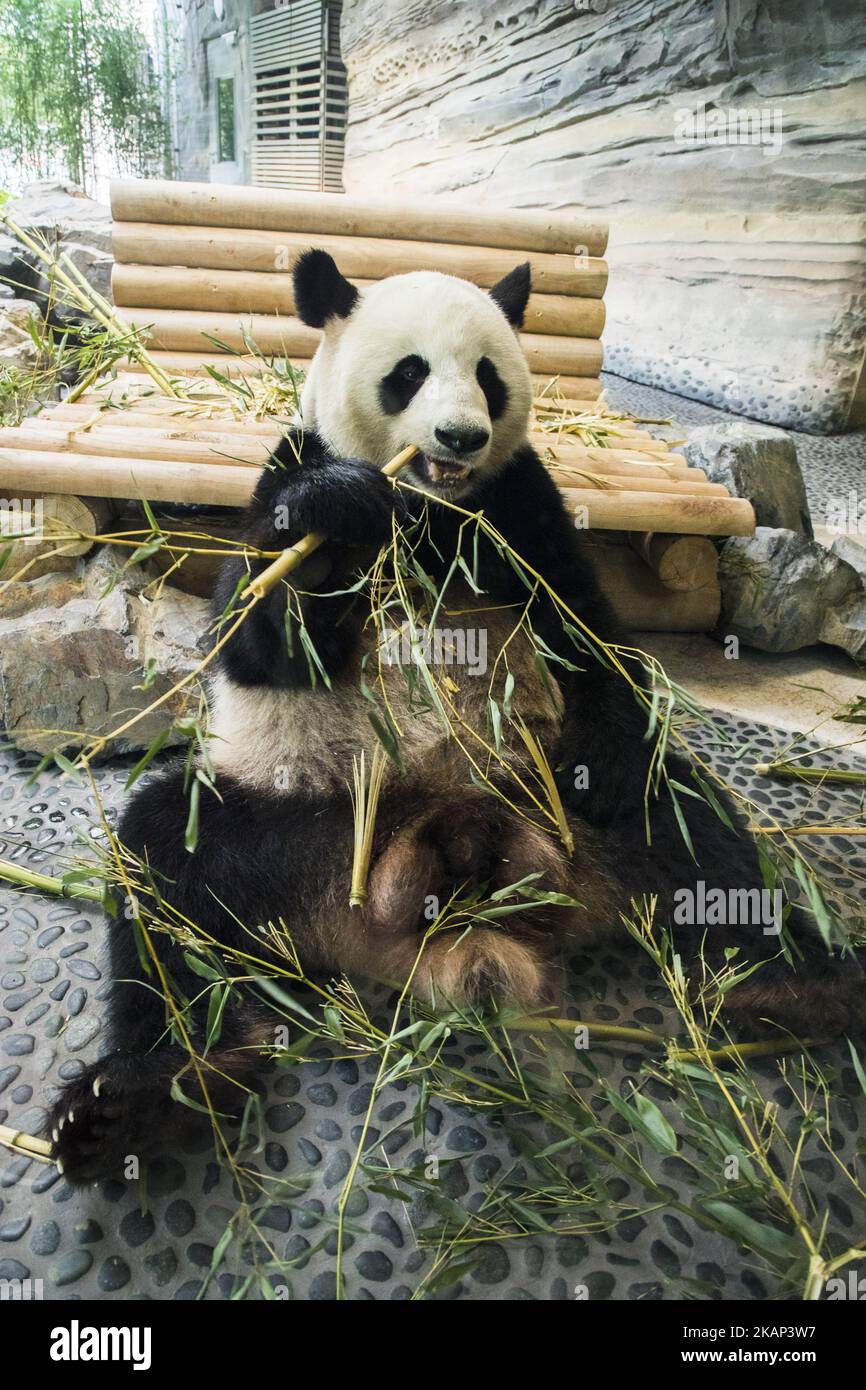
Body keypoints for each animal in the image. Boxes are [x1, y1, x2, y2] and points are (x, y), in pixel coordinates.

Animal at [47, 251, 864, 1184]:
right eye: (409, 373)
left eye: (488, 377)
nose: (461, 438)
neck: (430, 506)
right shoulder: (288, 474)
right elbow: (260, 634)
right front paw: (334, 527)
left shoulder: (520, 508)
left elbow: (587, 632)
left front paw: (610, 748)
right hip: (291, 834)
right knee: (162, 880)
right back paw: (138, 1101)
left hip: (554, 804)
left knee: (694, 829)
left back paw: (798, 988)